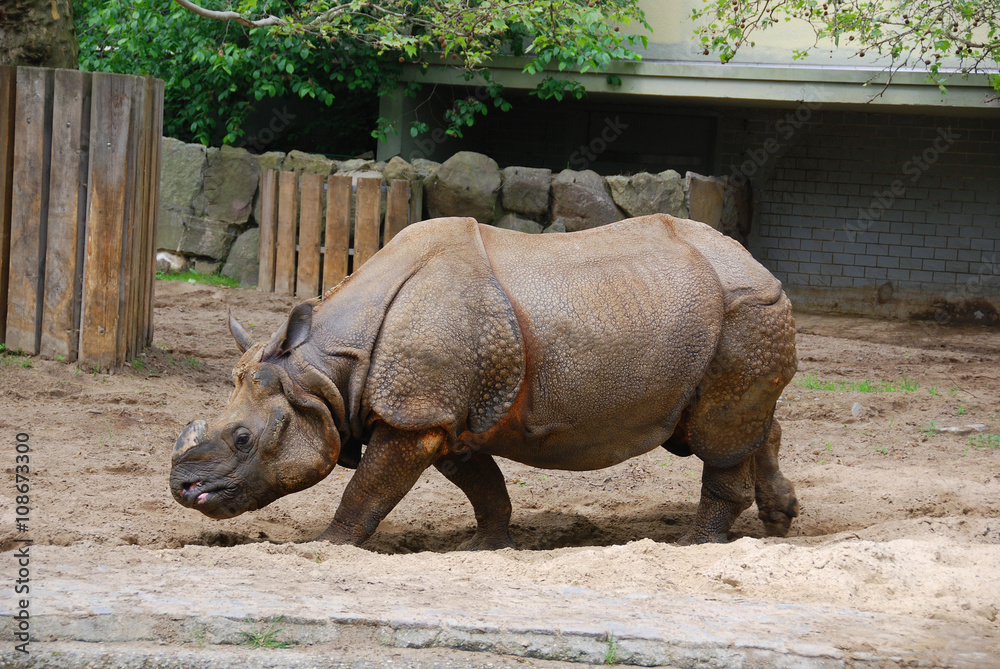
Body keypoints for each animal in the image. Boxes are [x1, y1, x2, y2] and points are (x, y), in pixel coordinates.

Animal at [170, 214, 799, 547]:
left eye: (244, 439)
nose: (182, 490)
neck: (321, 372)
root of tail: (764, 267)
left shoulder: (416, 415)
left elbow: (366, 489)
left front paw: (327, 545)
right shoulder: (447, 419)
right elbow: (484, 486)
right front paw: (484, 546)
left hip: (745, 312)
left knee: (719, 435)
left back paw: (698, 545)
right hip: (719, 319)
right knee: (737, 425)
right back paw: (779, 521)